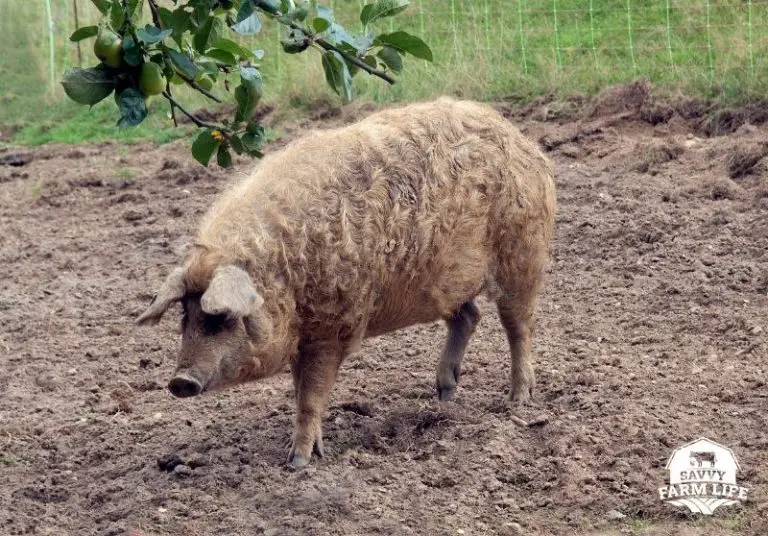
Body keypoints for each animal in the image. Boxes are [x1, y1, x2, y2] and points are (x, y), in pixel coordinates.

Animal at [137, 98, 556, 468]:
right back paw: (444, 396)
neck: (284, 274)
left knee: (519, 326)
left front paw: (298, 463)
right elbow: (300, 389)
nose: (179, 381)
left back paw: (518, 401)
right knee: (468, 317)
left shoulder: (333, 326)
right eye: (184, 315)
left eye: (222, 316)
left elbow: (311, 393)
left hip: (523, 253)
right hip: (446, 281)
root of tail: (521, 139)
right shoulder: (306, 336)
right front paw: (305, 451)